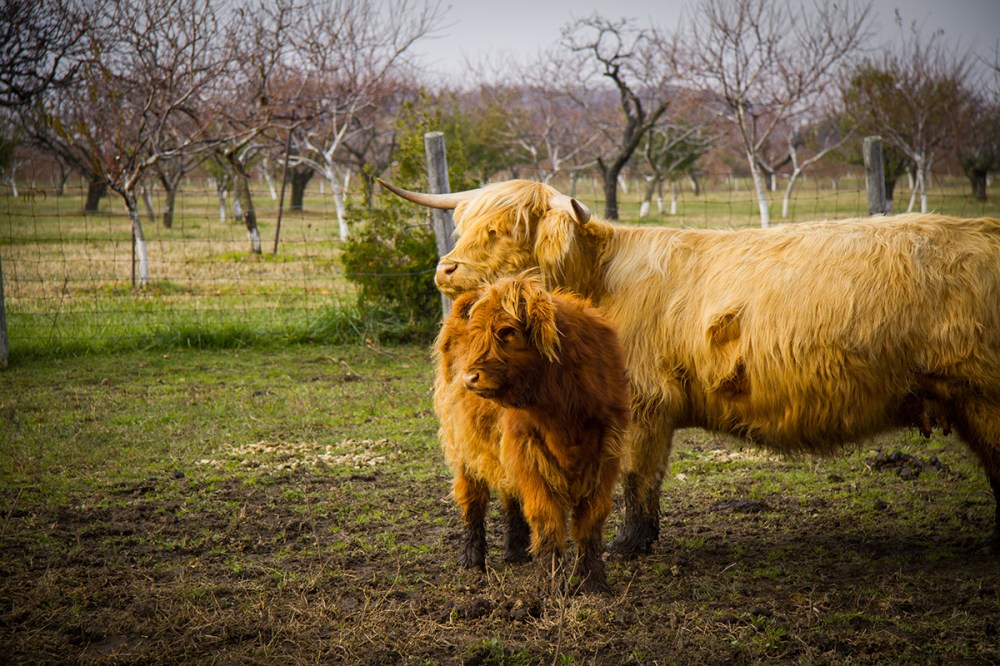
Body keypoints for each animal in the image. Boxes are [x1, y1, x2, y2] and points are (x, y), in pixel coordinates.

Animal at [382, 177, 1000, 558]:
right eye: (466, 225)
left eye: (504, 230)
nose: (446, 268)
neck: (598, 282)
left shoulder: (642, 404)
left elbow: (636, 476)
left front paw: (626, 545)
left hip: (984, 397)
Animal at [434, 274, 630, 593]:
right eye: (476, 333)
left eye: (507, 331)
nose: (469, 378)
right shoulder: (528, 452)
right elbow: (546, 519)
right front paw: (551, 584)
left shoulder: (605, 454)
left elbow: (591, 520)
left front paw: (594, 582)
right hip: (462, 444)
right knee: (472, 498)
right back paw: (471, 559)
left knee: (510, 495)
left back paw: (516, 551)